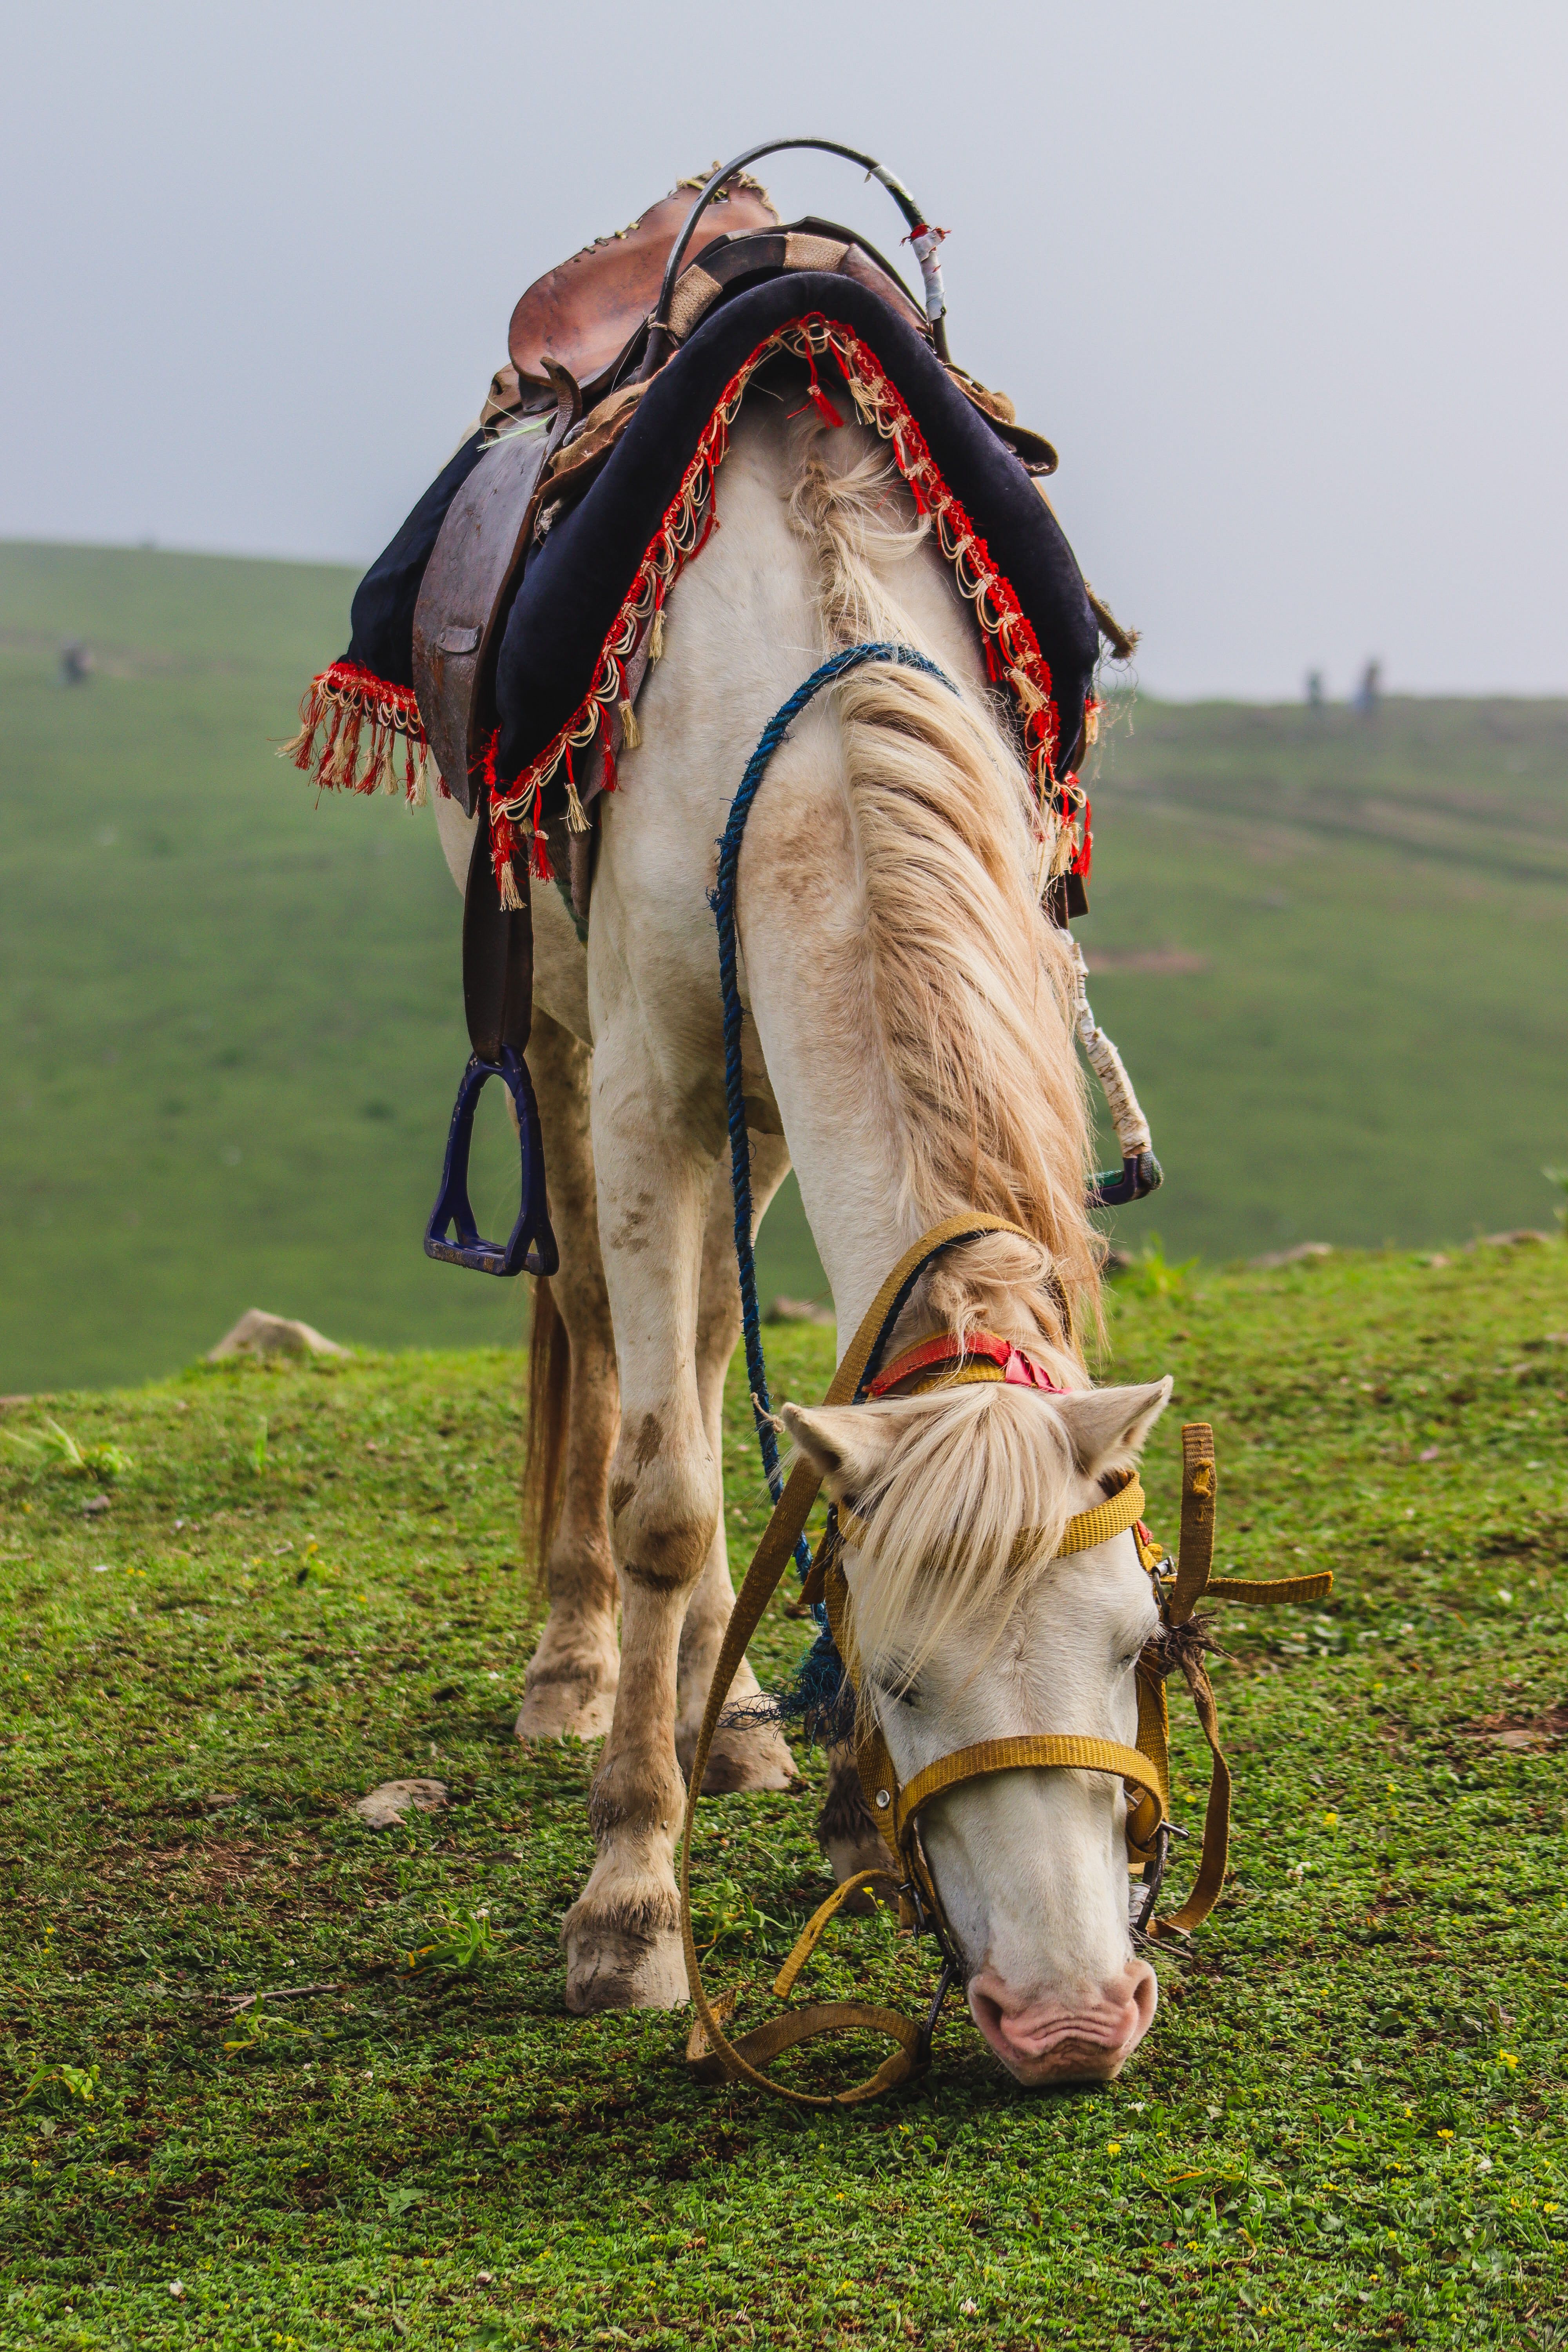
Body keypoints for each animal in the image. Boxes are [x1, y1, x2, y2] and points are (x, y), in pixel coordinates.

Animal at [431, 392, 1172, 2085]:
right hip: (562, 1048)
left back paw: (739, 1714)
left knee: (710, 1346)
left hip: (757, 1116)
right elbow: (661, 1495)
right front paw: (628, 1903)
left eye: (1140, 1649)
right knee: (608, 1336)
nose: (1071, 2024)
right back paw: (579, 1671)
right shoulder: (650, 1089)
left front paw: (837, 1811)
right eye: (900, 1676)